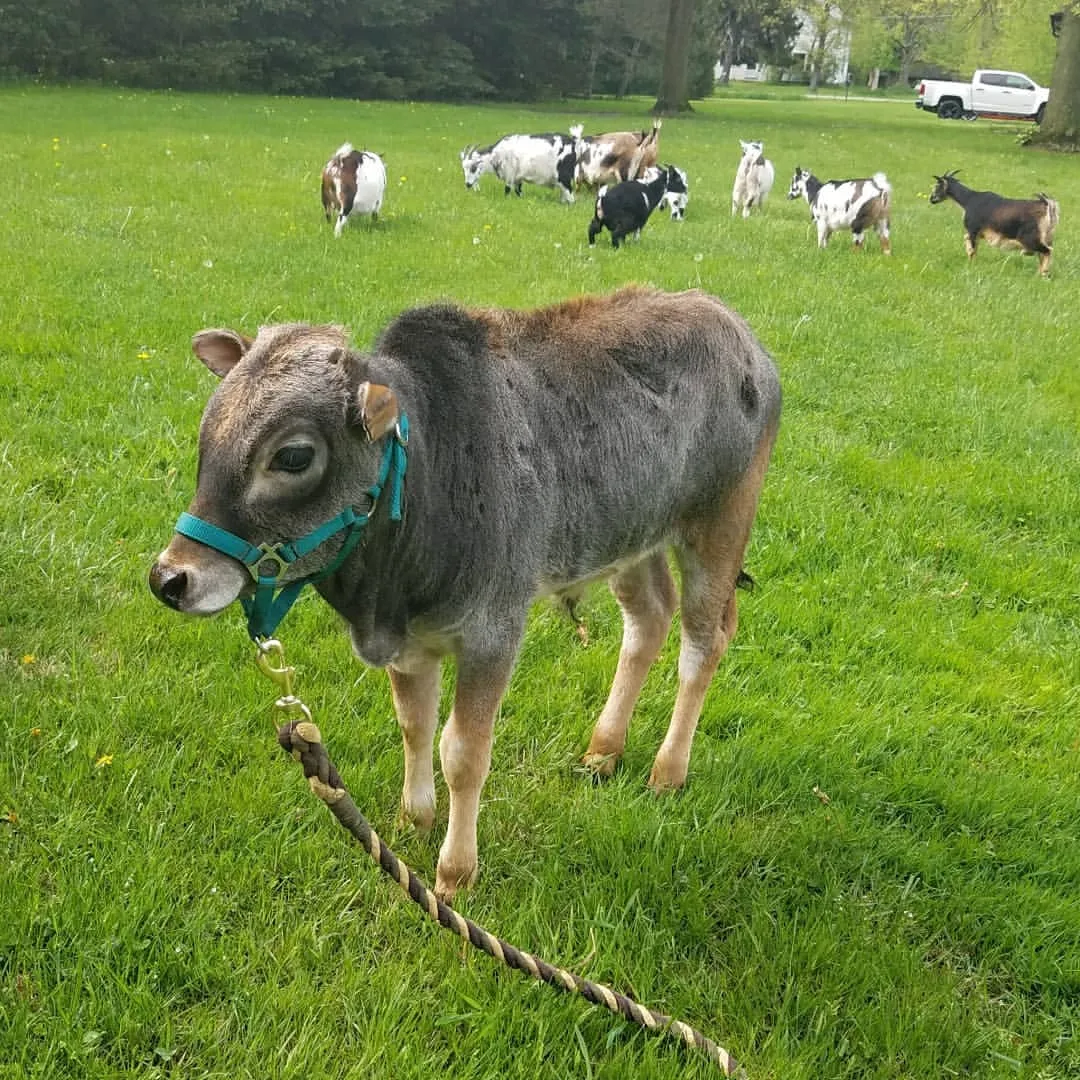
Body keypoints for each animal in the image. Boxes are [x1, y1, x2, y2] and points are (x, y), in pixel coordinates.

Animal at [149, 287, 782, 900]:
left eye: (294, 455)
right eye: (209, 430)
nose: (170, 579)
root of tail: (737, 329)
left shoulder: (493, 634)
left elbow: (463, 751)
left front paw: (455, 872)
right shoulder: (408, 645)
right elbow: (415, 724)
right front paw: (413, 821)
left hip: (719, 527)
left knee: (702, 642)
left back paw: (667, 771)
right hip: (633, 540)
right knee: (649, 620)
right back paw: (604, 750)